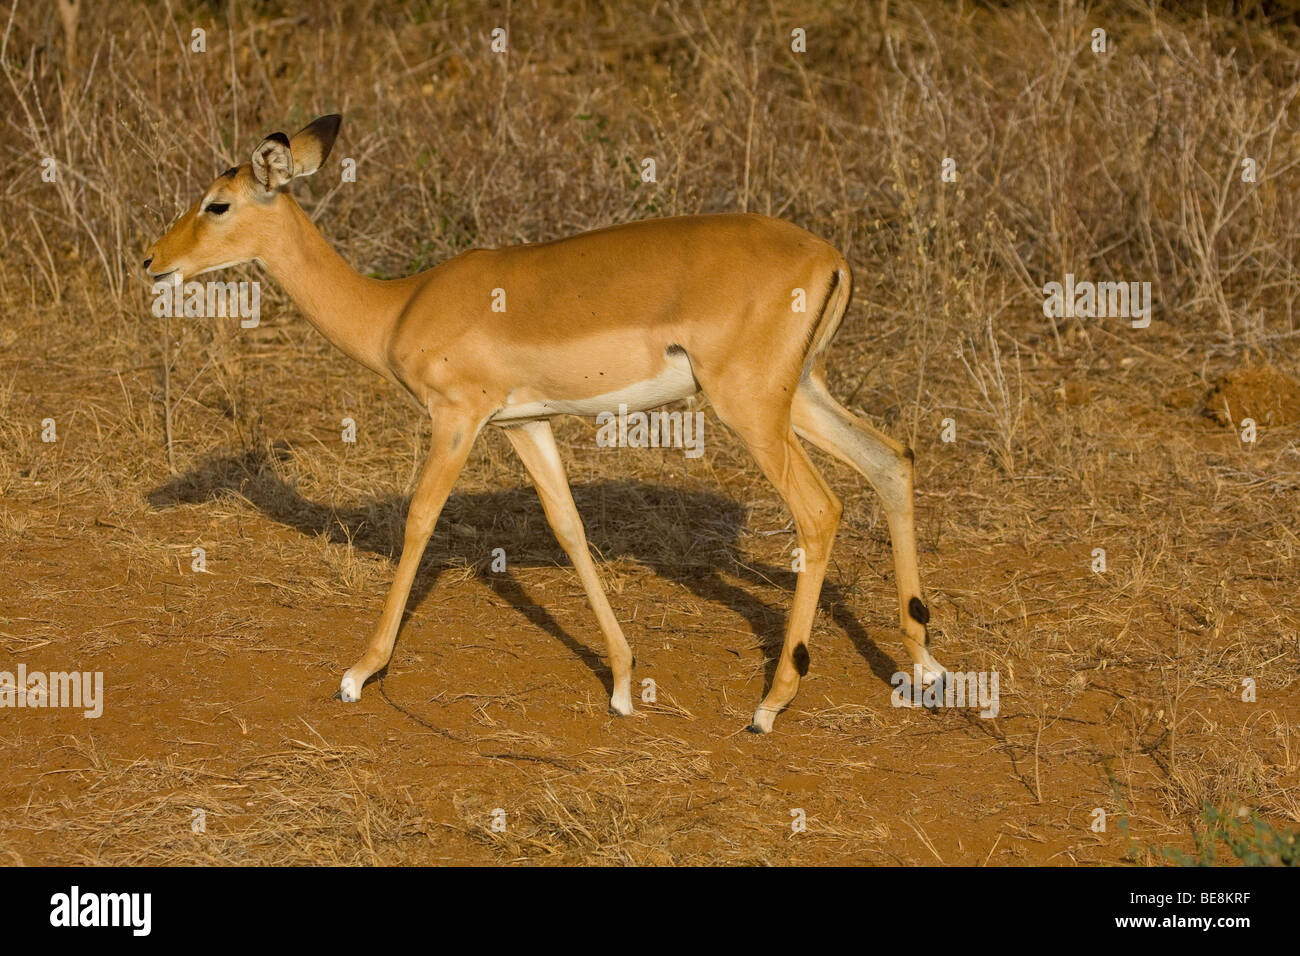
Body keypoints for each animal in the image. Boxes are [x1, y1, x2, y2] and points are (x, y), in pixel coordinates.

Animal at [144, 115, 949, 734]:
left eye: (217, 203)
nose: (153, 262)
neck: (397, 307)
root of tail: (830, 256)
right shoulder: (523, 425)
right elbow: (569, 525)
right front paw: (622, 683)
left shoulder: (458, 417)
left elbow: (419, 521)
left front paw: (357, 672)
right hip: (800, 394)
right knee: (893, 459)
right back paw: (926, 668)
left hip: (750, 406)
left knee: (821, 509)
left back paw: (770, 705)